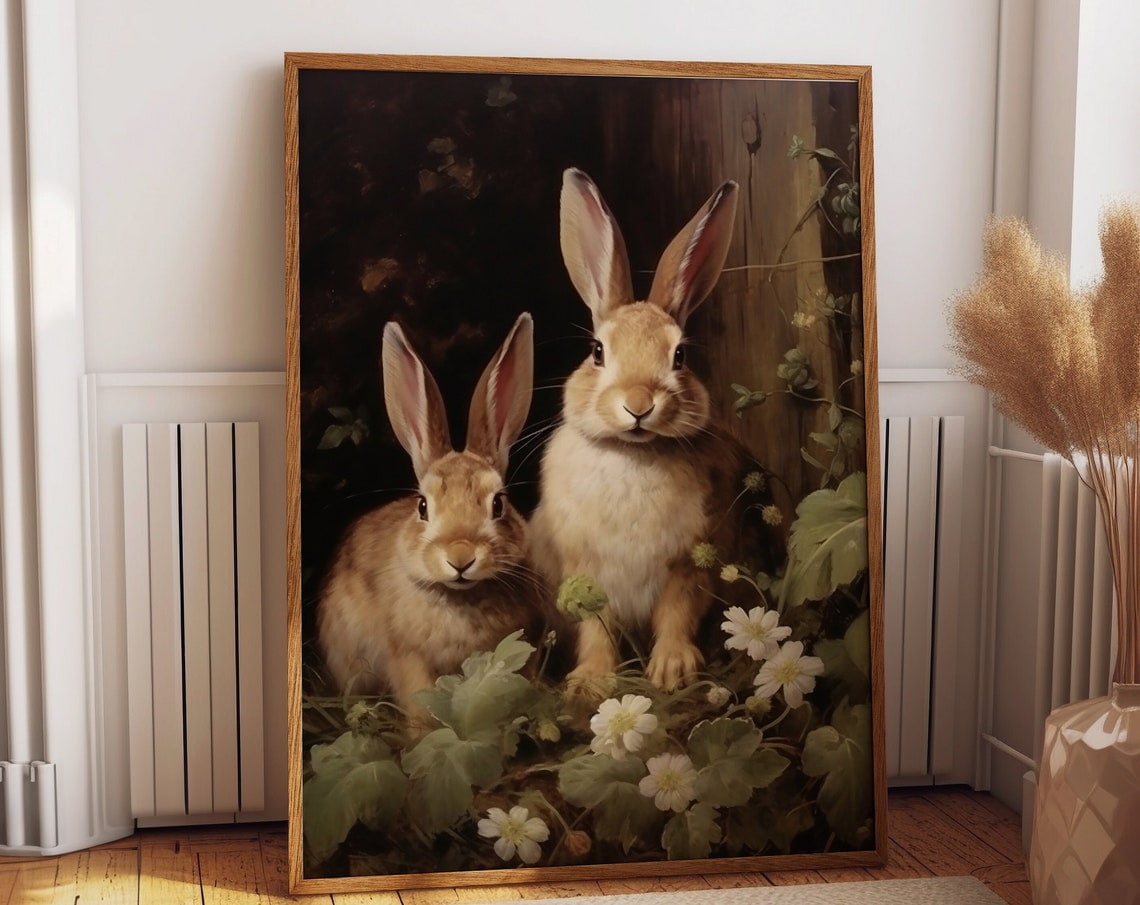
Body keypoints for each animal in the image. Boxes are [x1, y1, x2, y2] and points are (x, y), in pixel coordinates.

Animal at [317, 312, 543, 724]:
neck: (460, 598)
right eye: (422, 506)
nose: (460, 557)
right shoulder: (406, 655)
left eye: (498, 504)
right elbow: (419, 702)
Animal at [531, 167, 756, 693]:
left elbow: (676, 613)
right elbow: (595, 626)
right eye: (597, 351)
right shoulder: (584, 570)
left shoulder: (687, 564)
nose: (638, 405)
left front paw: (672, 670)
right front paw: (591, 682)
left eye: (680, 356)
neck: (631, 455)